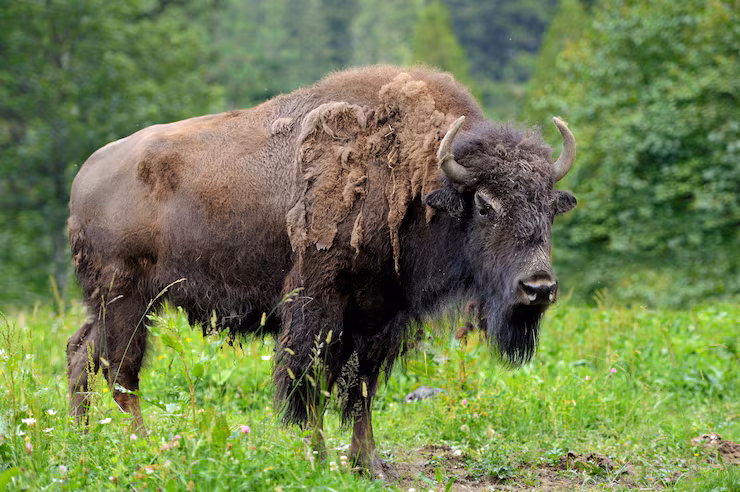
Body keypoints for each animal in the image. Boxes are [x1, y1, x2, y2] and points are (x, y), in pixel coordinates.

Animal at [67, 65, 577, 477]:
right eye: (486, 206)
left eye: (551, 207)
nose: (538, 288)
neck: (416, 181)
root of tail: (85, 174)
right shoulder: (319, 306)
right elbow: (309, 383)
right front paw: (316, 458)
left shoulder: (380, 317)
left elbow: (362, 390)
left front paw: (369, 464)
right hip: (128, 299)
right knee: (121, 371)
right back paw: (146, 449)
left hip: (112, 304)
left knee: (81, 354)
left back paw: (82, 442)